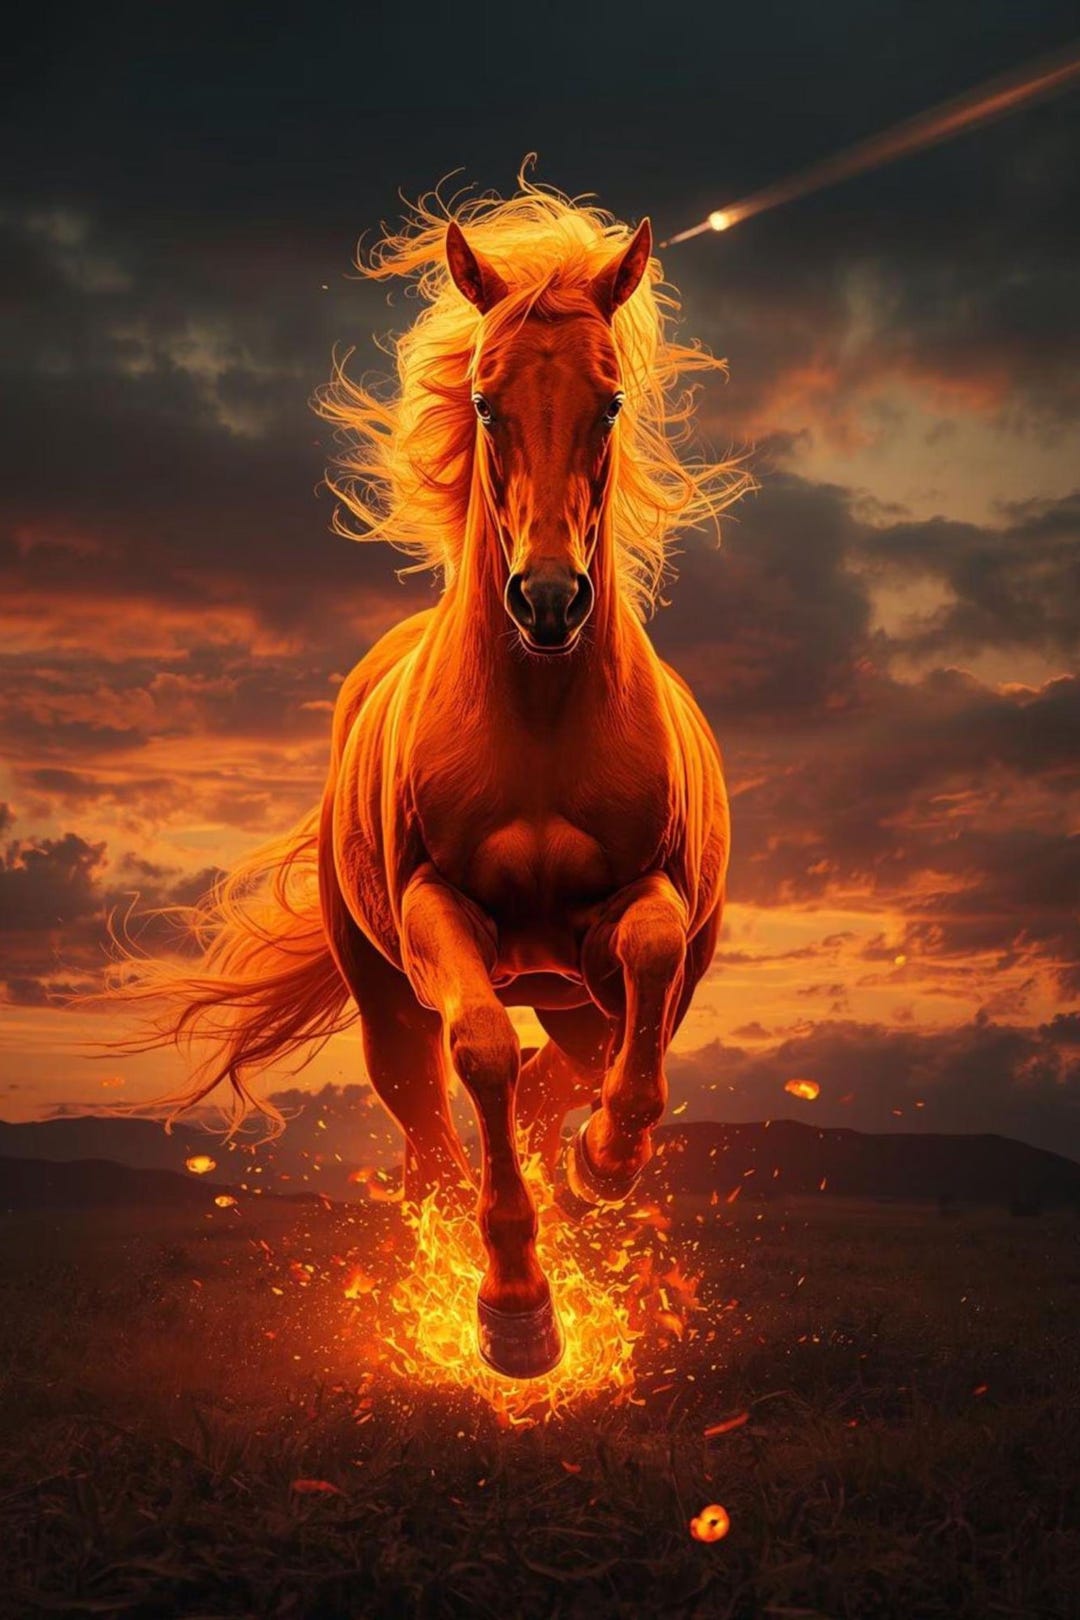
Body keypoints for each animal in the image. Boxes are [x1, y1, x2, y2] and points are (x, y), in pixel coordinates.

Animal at [113, 181, 750, 1380]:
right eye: (487, 404)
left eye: (609, 403)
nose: (547, 599)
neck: (538, 716)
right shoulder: (431, 915)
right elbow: (484, 1053)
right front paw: (514, 1309)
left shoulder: (644, 918)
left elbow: (638, 972)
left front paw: (603, 1163)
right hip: (383, 1000)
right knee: (428, 1120)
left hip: (580, 998)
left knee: (574, 1064)